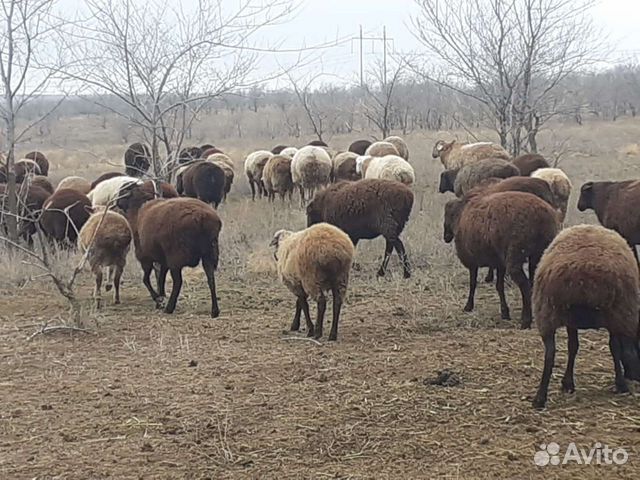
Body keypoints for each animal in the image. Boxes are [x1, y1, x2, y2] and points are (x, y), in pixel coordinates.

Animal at [116, 182, 222, 316]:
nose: (117, 203)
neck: (137, 210)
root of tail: (202, 217)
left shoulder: (145, 257)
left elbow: (146, 279)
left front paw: (158, 299)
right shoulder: (164, 260)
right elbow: (161, 279)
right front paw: (160, 299)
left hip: (176, 257)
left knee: (178, 282)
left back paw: (169, 308)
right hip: (209, 253)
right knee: (211, 279)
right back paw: (215, 310)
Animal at [443, 191, 559, 328]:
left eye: (446, 216)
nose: (446, 237)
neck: (460, 215)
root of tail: (542, 217)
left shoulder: (472, 262)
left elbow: (473, 284)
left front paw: (468, 306)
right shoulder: (499, 264)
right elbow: (499, 286)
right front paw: (505, 312)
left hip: (515, 255)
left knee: (525, 286)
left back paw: (525, 320)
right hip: (539, 254)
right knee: (533, 283)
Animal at [531, 225, 640, 409]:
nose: (636, 376)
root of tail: (582, 275)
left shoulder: (571, 322)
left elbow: (573, 346)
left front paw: (567, 383)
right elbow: (615, 348)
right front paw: (621, 383)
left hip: (546, 311)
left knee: (550, 353)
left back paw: (539, 398)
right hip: (617, 311)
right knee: (619, 350)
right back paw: (622, 385)